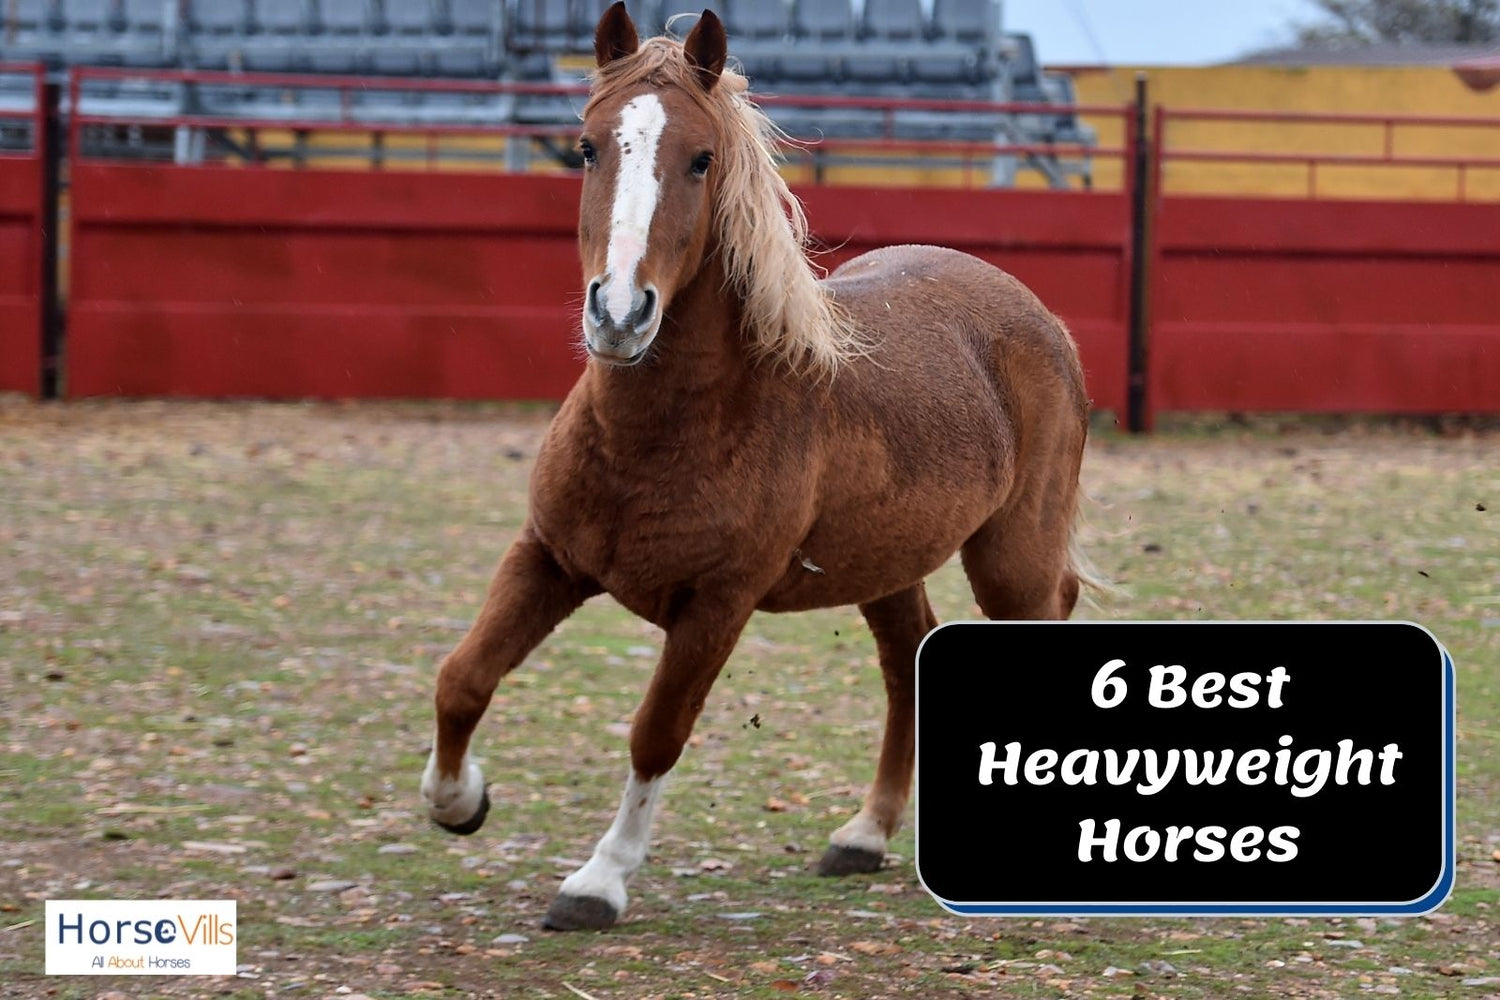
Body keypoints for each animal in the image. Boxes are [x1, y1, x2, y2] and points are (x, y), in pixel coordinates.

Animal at [420, 2, 1094, 931]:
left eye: (701, 158)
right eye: (587, 146)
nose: (620, 314)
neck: (664, 433)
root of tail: (1040, 319)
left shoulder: (717, 606)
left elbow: (657, 732)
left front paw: (599, 880)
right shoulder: (548, 558)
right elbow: (463, 679)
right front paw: (460, 802)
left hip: (1011, 560)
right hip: (886, 566)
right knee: (906, 664)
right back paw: (864, 835)